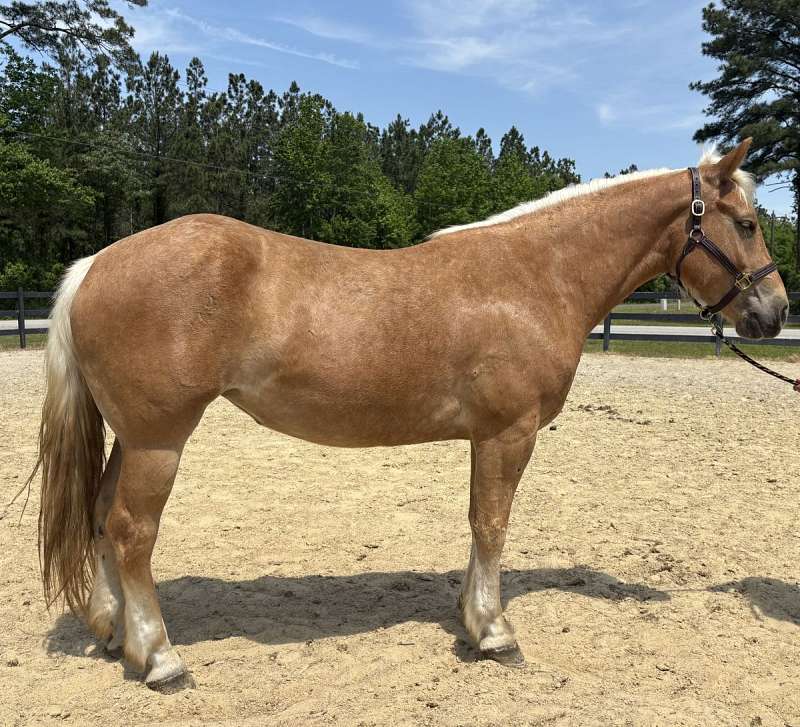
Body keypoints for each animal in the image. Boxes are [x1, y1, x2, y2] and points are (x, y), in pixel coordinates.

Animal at [30, 138, 787, 691]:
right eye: (747, 224)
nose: (774, 312)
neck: (535, 276)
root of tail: (97, 264)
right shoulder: (507, 433)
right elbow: (492, 524)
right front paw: (493, 632)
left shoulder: (486, 437)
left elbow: (478, 524)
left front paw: (471, 617)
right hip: (159, 439)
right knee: (131, 531)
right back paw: (160, 659)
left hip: (131, 437)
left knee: (100, 518)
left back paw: (115, 635)